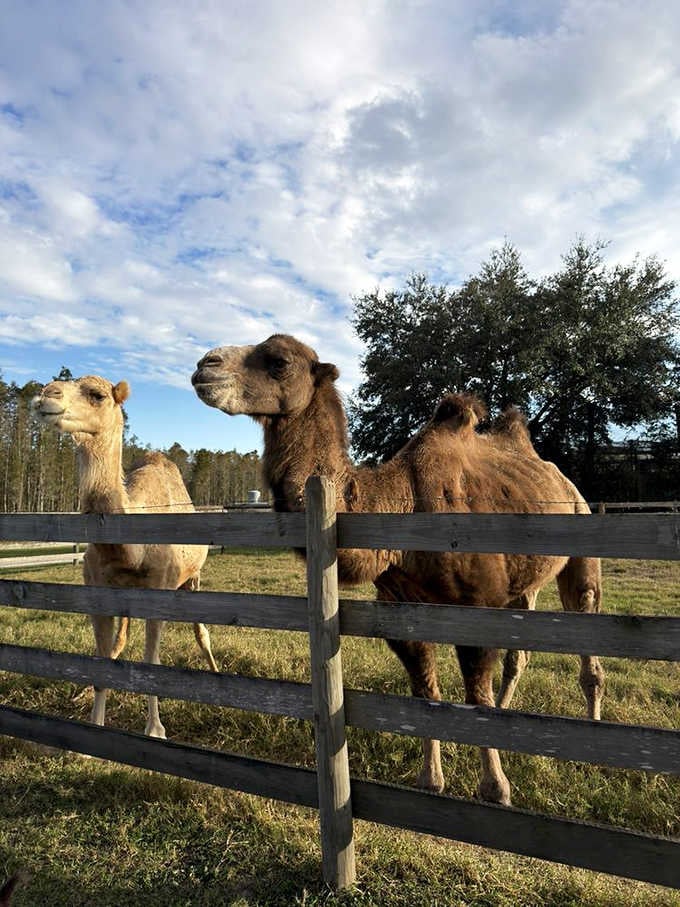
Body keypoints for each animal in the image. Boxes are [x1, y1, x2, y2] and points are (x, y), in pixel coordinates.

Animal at [32, 375, 217, 738]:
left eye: (97, 395)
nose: (46, 394)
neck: (130, 552)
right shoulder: (99, 590)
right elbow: (104, 659)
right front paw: (94, 724)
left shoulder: (160, 588)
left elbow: (152, 662)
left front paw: (155, 729)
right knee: (122, 639)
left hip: (193, 577)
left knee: (201, 632)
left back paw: (216, 676)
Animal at [191, 334, 605, 805]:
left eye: (278, 360)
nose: (205, 365)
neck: (401, 501)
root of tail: (560, 477)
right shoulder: (401, 609)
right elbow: (425, 694)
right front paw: (431, 781)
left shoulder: (477, 606)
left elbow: (475, 697)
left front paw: (495, 789)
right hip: (522, 584)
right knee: (520, 653)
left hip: (580, 534)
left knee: (584, 625)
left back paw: (591, 739)